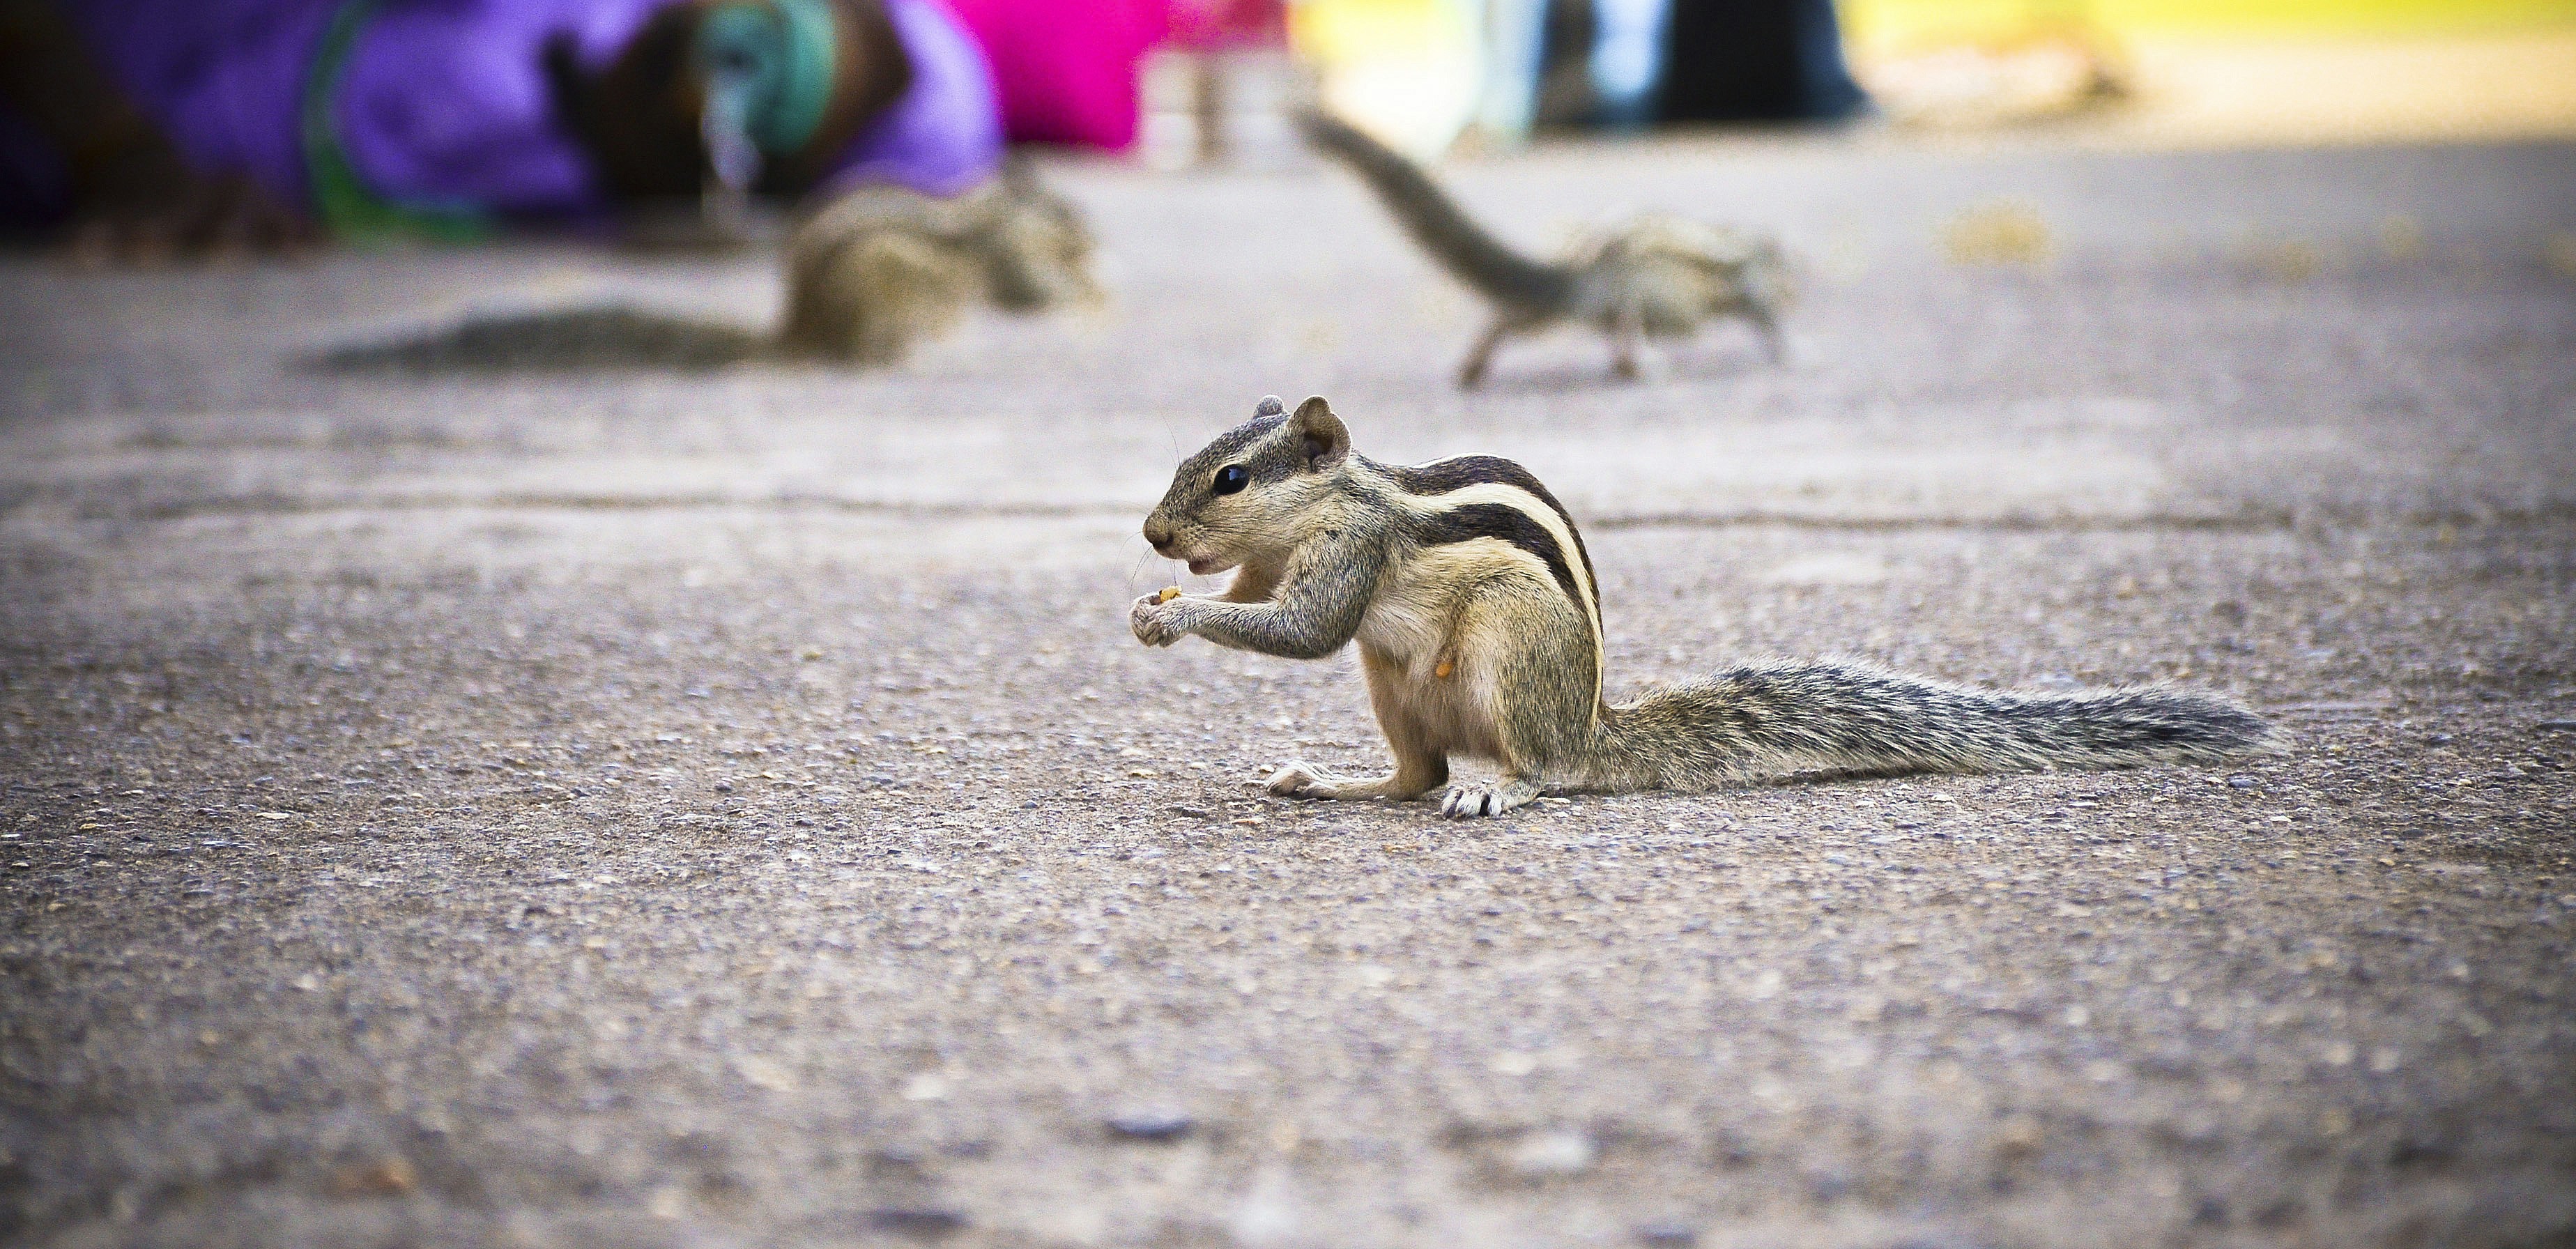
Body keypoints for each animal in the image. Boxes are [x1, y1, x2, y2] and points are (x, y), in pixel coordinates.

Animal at [1130, 396, 2276, 818]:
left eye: (1229, 479)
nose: (1152, 535)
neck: (1343, 498)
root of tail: (1590, 724)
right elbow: (1258, 599)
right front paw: (1156, 604)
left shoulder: (1352, 555)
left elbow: (1304, 628)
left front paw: (1173, 618)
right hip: (1395, 691)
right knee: (1417, 775)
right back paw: (1339, 782)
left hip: (1506, 643)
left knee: (1535, 772)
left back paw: (1504, 789)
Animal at [1295, 108, 1790, 389]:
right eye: (1793, 271)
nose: (1798, 292)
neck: (1742, 249)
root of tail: (1582, 272)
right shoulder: (1745, 289)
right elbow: (1764, 318)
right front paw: (1786, 345)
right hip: (1642, 299)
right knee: (1626, 327)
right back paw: (1640, 363)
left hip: (1549, 314)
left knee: (1508, 318)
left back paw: (1473, 368)